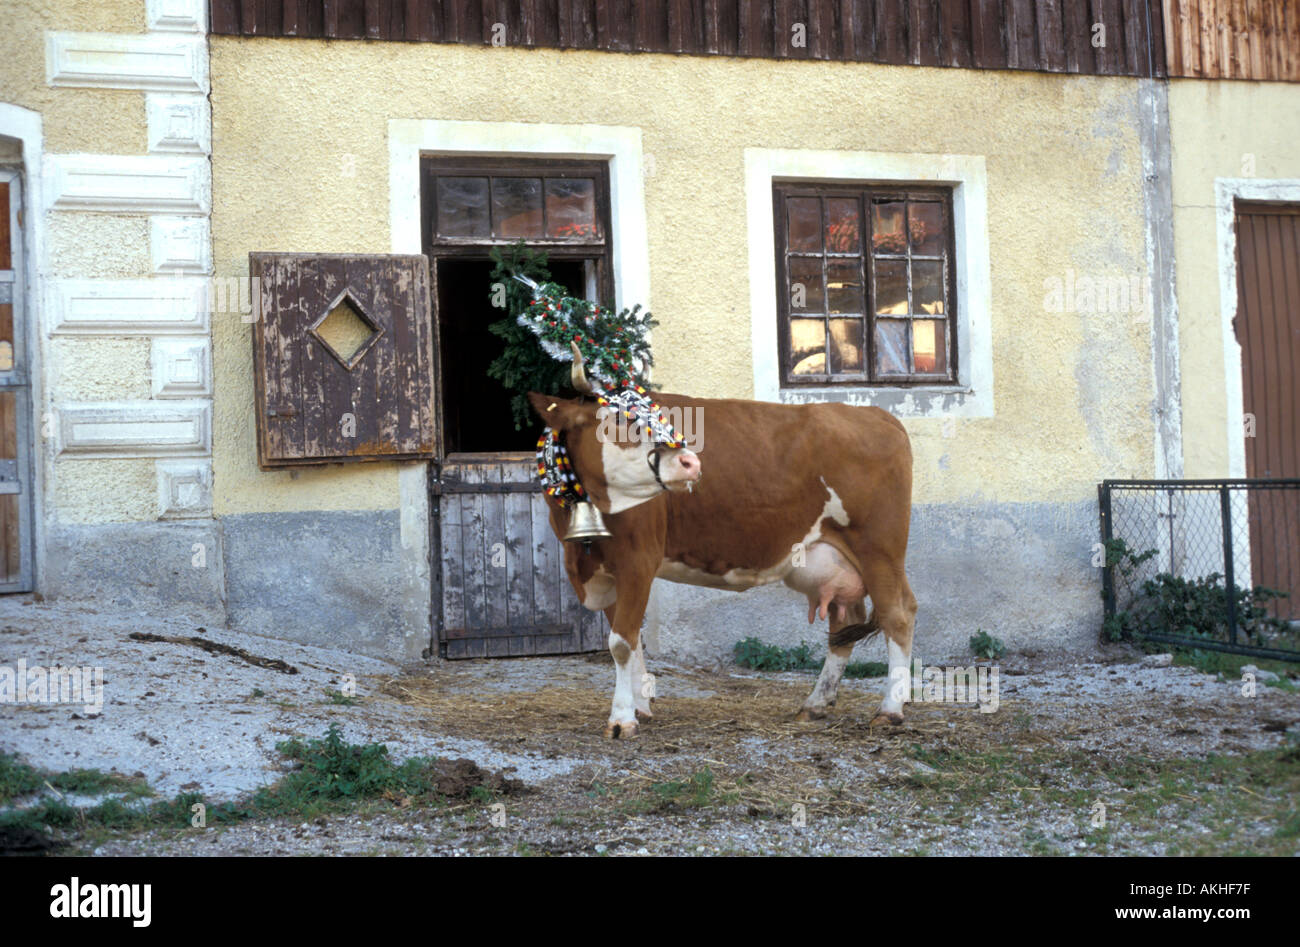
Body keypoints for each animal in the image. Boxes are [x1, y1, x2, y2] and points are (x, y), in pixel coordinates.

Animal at [528, 353, 916, 739]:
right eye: (621, 421)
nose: (690, 461)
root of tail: (877, 415)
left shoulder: (638, 560)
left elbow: (621, 642)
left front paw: (622, 718)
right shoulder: (605, 569)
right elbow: (632, 638)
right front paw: (640, 707)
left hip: (880, 549)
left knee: (898, 614)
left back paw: (890, 709)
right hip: (835, 559)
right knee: (846, 622)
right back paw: (816, 703)